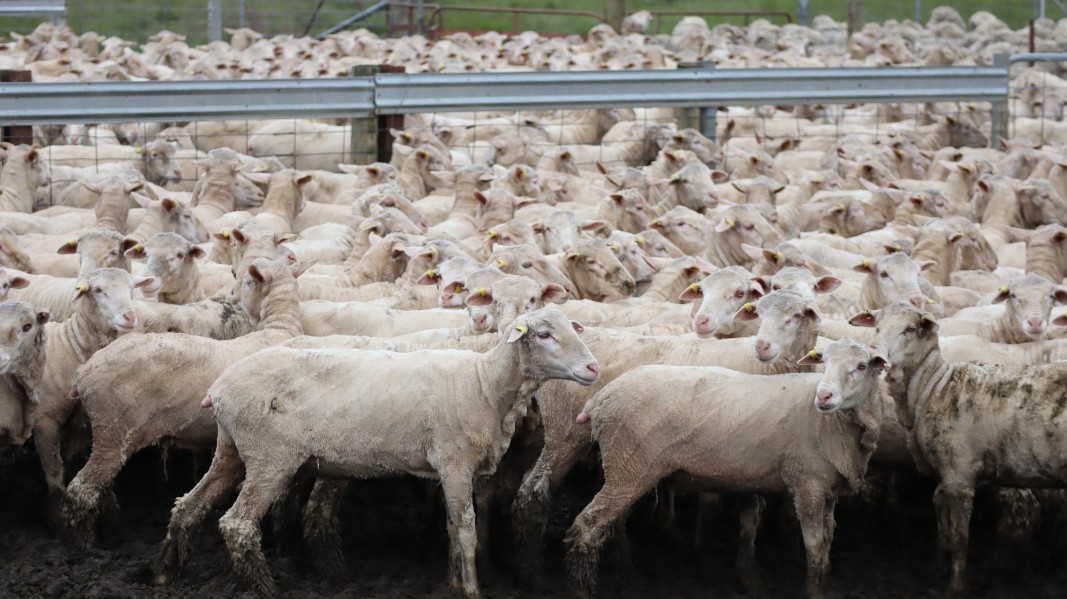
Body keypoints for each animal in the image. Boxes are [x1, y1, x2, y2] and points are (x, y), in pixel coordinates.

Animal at [61, 258, 311, 548]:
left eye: (247, 281)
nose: (232, 296)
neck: (279, 326)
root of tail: (84, 372)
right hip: (114, 430)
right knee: (82, 488)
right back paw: (83, 543)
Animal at [156, 307, 598, 598]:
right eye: (544, 334)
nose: (593, 368)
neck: (482, 384)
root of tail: (218, 388)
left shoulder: (449, 467)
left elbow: (451, 527)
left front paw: (453, 581)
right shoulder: (454, 462)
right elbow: (466, 529)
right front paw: (471, 589)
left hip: (231, 449)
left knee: (187, 505)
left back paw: (166, 572)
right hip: (271, 457)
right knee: (237, 525)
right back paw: (264, 589)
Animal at [566, 339, 887, 599]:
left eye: (861, 366)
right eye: (824, 362)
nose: (823, 397)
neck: (834, 425)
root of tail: (600, 398)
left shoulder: (827, 490)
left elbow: (827, 540)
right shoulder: (807, 484)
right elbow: (815, 547)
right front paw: (813, 592)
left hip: (627, 469)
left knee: (613, 523)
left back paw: (627, 577)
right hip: (630, 465)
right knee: (588, 526)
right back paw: (583, 589)